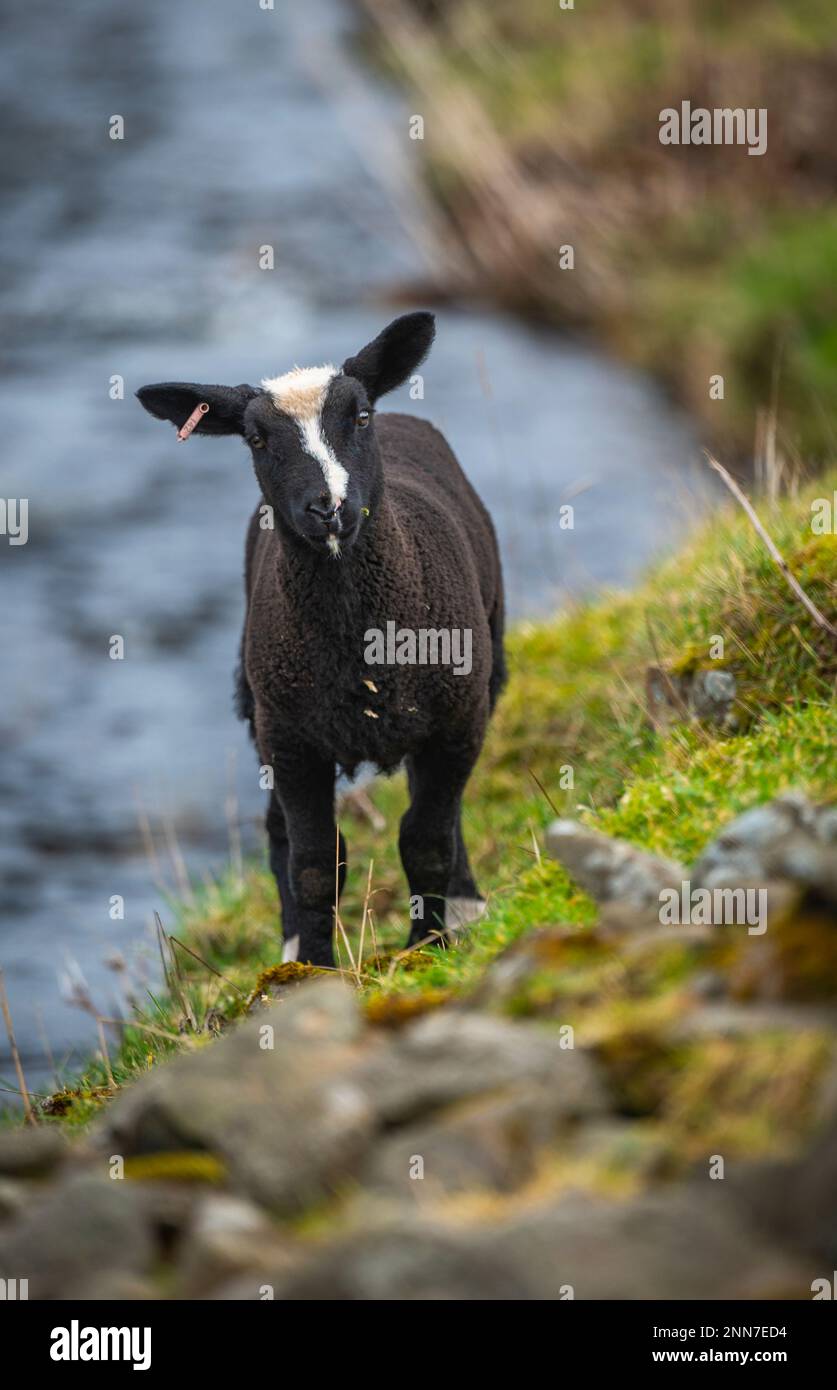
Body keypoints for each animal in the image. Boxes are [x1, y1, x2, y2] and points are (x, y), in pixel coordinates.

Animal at [137, 312, 506, 967]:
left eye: (358, 417)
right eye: (256, 439)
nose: (328, 507)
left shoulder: (459, 717)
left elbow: (427, 839)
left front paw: (428, 946)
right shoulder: (291, 740)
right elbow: (315, 864)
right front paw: (314, 967)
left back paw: (463, 906)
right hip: (263, 708)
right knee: (279, 832)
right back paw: (290, 946)